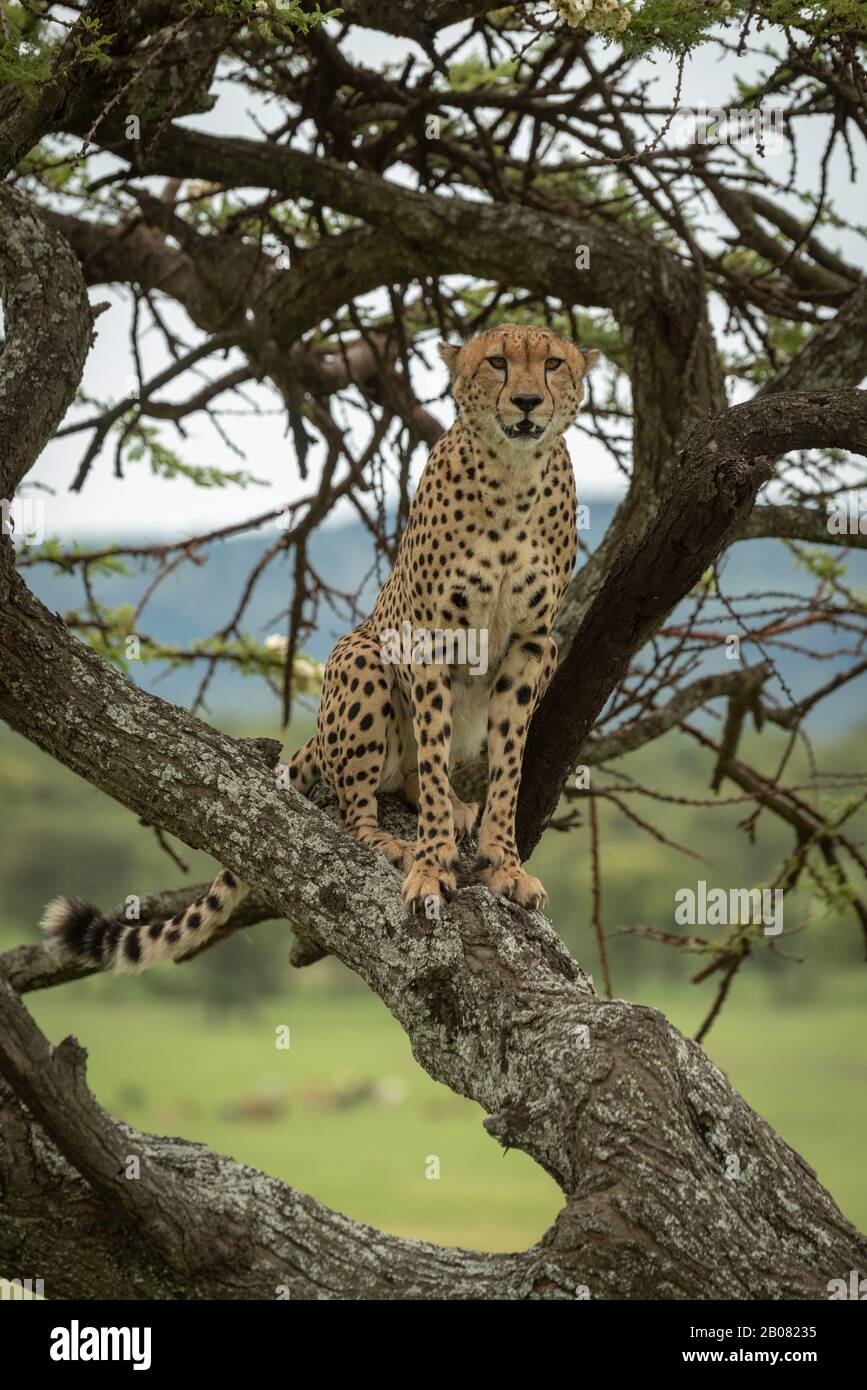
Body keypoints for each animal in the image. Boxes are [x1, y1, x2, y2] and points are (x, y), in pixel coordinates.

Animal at [41, 324, 599, 974]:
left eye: (553, 363)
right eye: (497, 363)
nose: (528, 402)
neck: (513, 475)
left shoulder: (533, 644)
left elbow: (507, 765)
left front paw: (504, 863)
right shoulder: (426, 635)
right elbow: (434, 763)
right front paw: (432, 864)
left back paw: (461, 812)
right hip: (363, 655)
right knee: (364, 806)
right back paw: (396, 840)